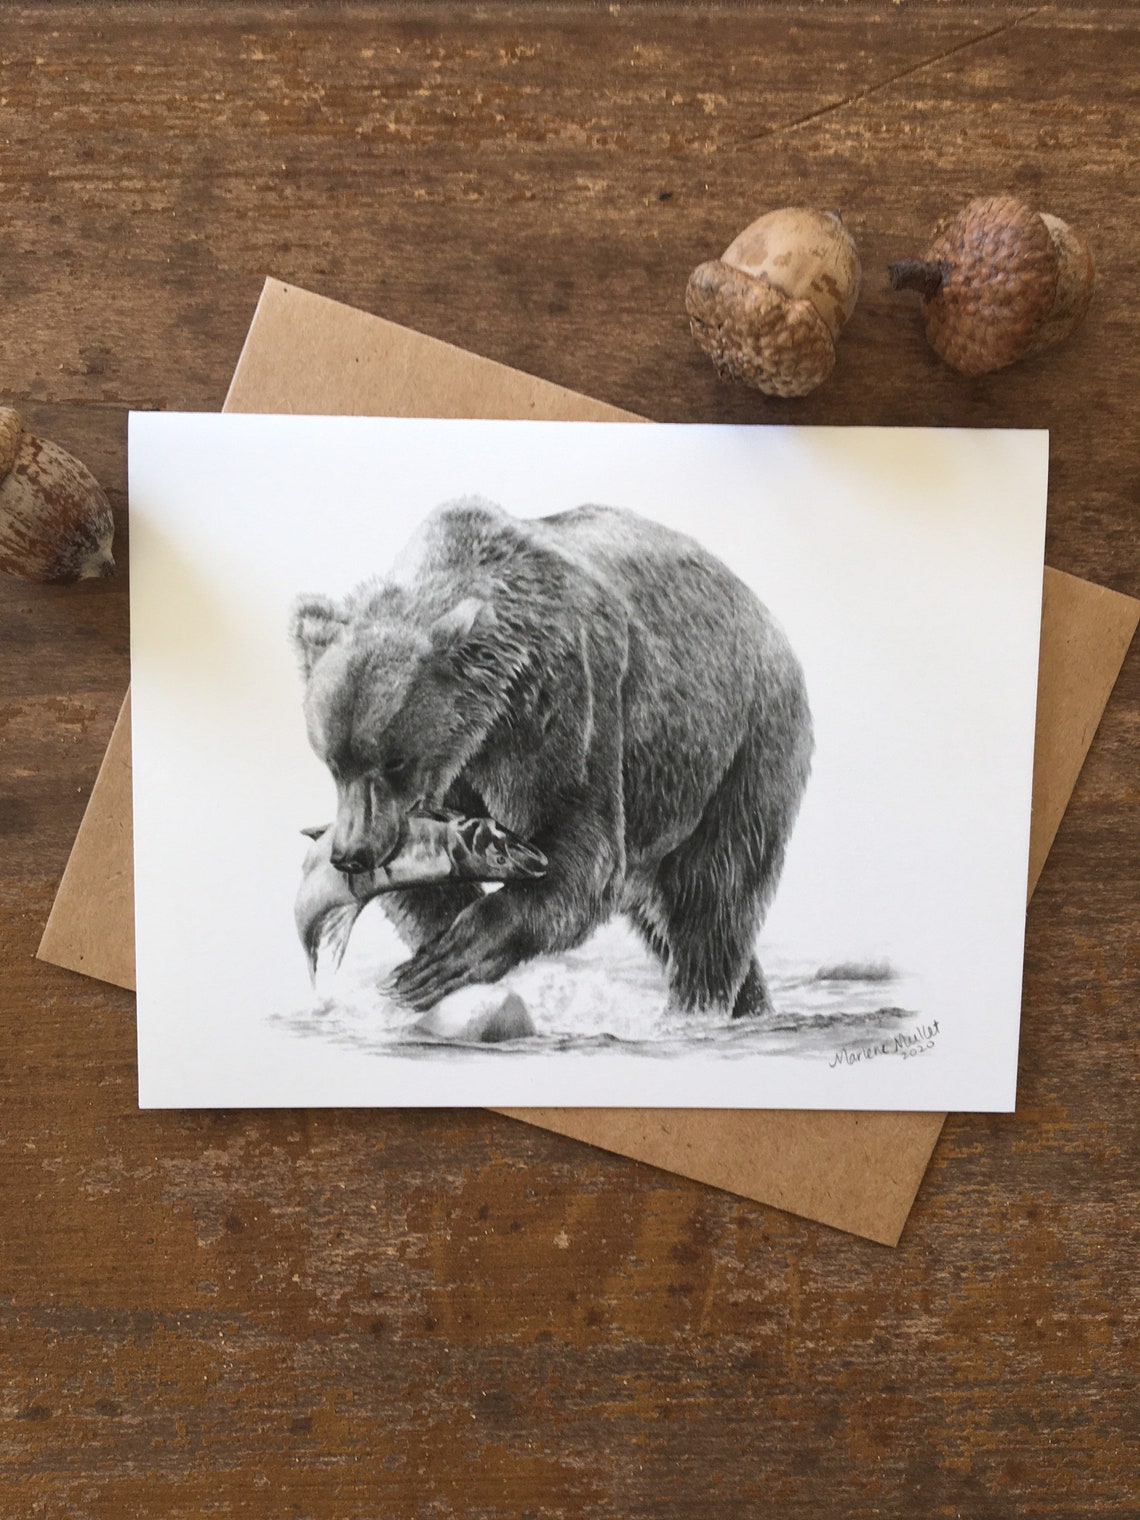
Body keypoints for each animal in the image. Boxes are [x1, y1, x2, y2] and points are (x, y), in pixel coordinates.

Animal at [291, 496, 813, 1019]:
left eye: (395, 760)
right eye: (333, 761)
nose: (351, 854)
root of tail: (765, 615)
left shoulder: (558, 699)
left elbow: (580, 840)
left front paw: (457, 952)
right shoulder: (461, 768)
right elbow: (420, 889)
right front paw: (430, 957)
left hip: (741, 747)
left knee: (714, 897)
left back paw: (694, 1007)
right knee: (664, 915)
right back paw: (751, 1003)